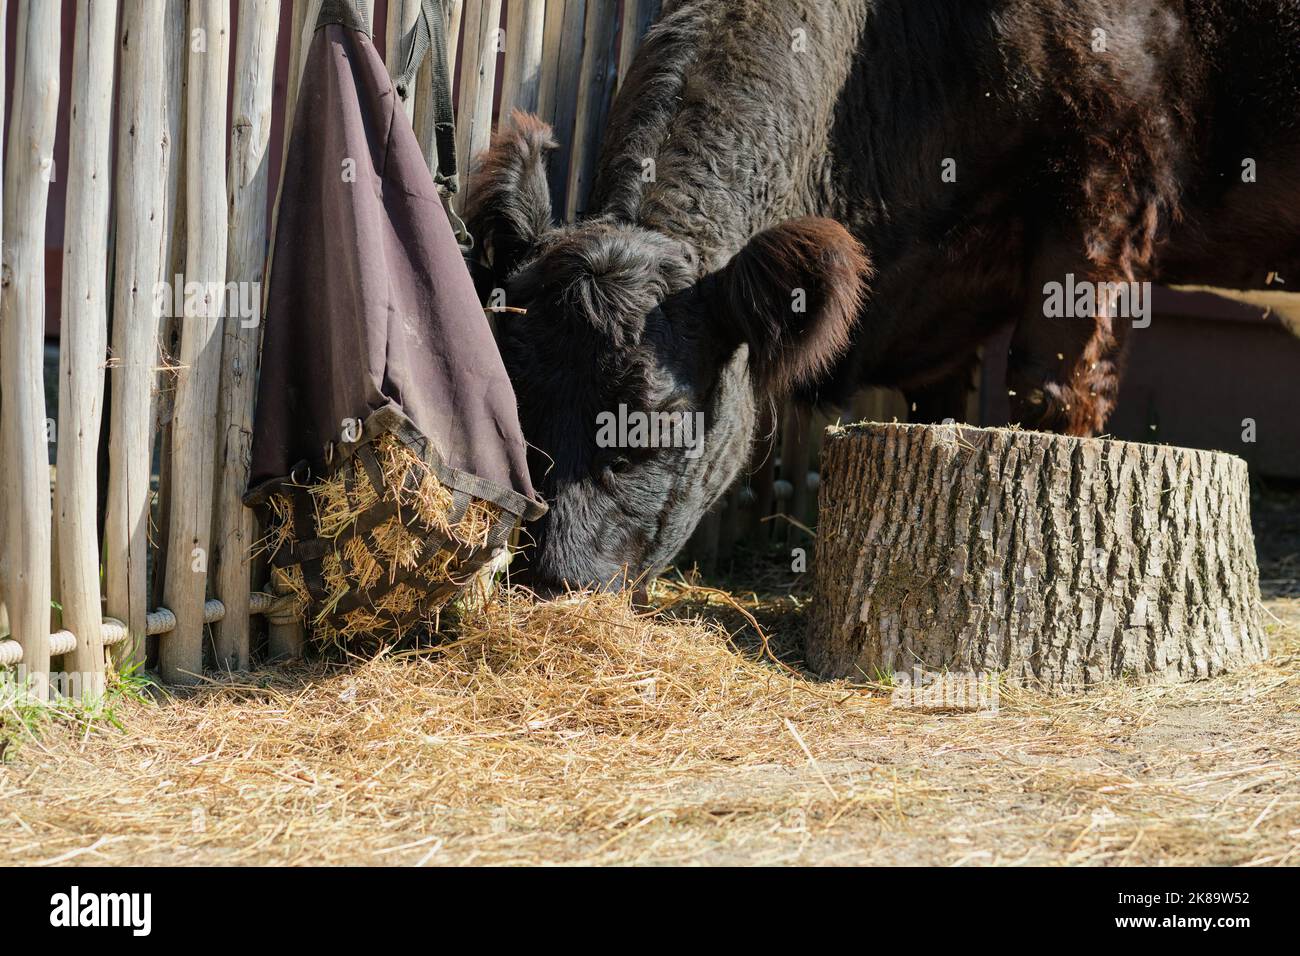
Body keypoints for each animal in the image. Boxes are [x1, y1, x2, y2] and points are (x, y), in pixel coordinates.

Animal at [465, 0, 1300, 593]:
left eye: (657, 419)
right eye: (515, 397)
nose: (551, 579)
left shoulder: (1105, 188)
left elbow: (1055, 392)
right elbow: (943, 421)